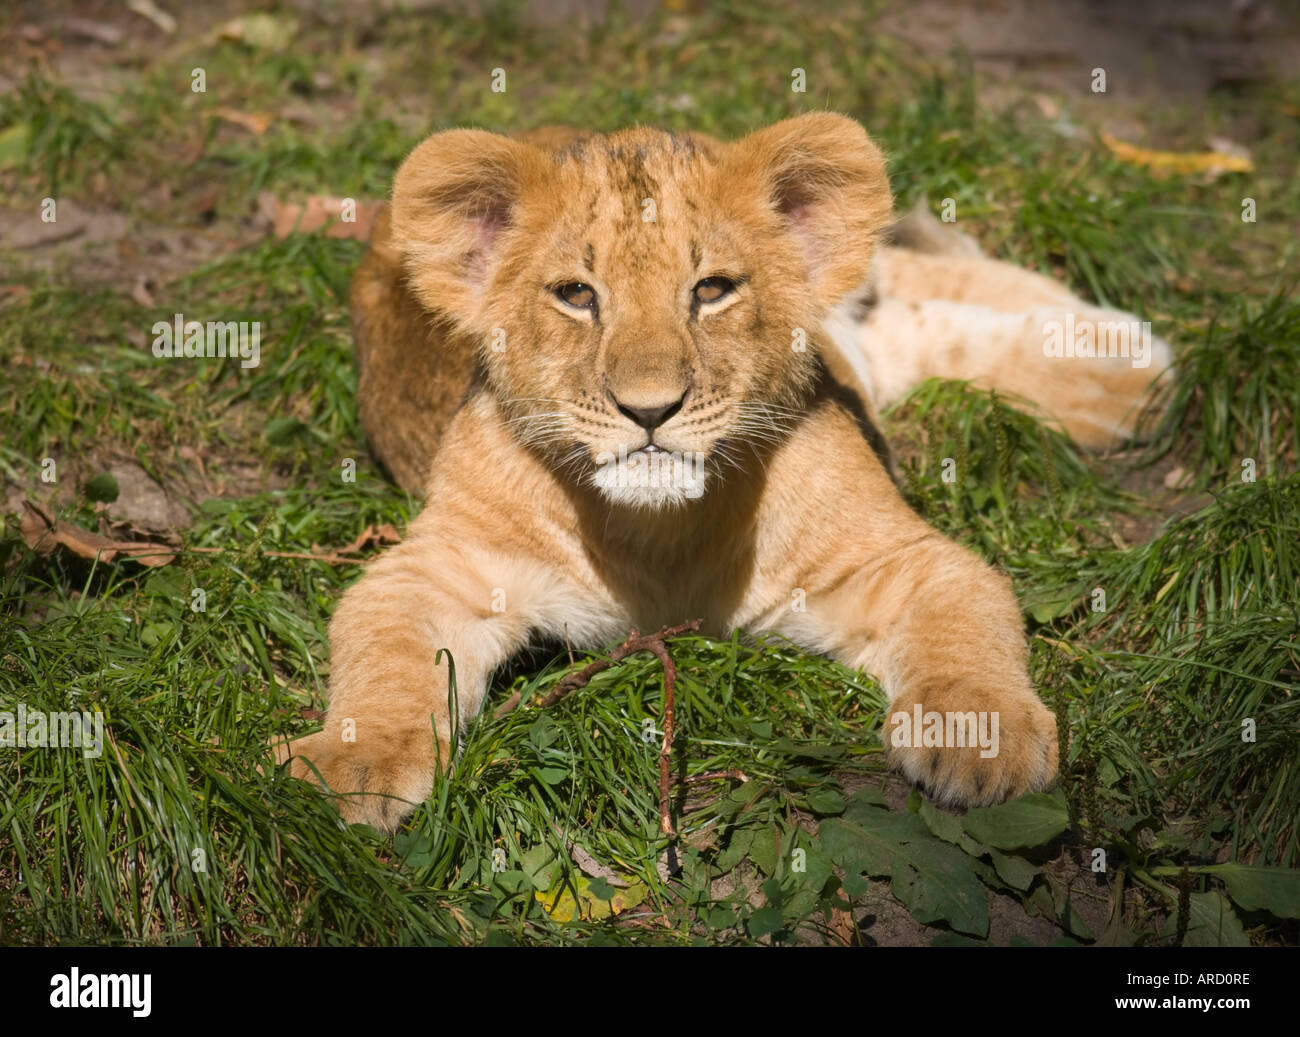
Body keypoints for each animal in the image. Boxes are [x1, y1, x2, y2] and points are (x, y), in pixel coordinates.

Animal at [276, 113, 1172, 832]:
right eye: (576, 295)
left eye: (710, 290)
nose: (649, 408)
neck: (658, 533)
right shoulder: (432, 570)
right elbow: (383, 654)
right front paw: (349, 766)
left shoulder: (903, 559)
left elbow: (967, 626)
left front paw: (982, 742)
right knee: (916, 321)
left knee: (918, 289)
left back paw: (1125, 367)